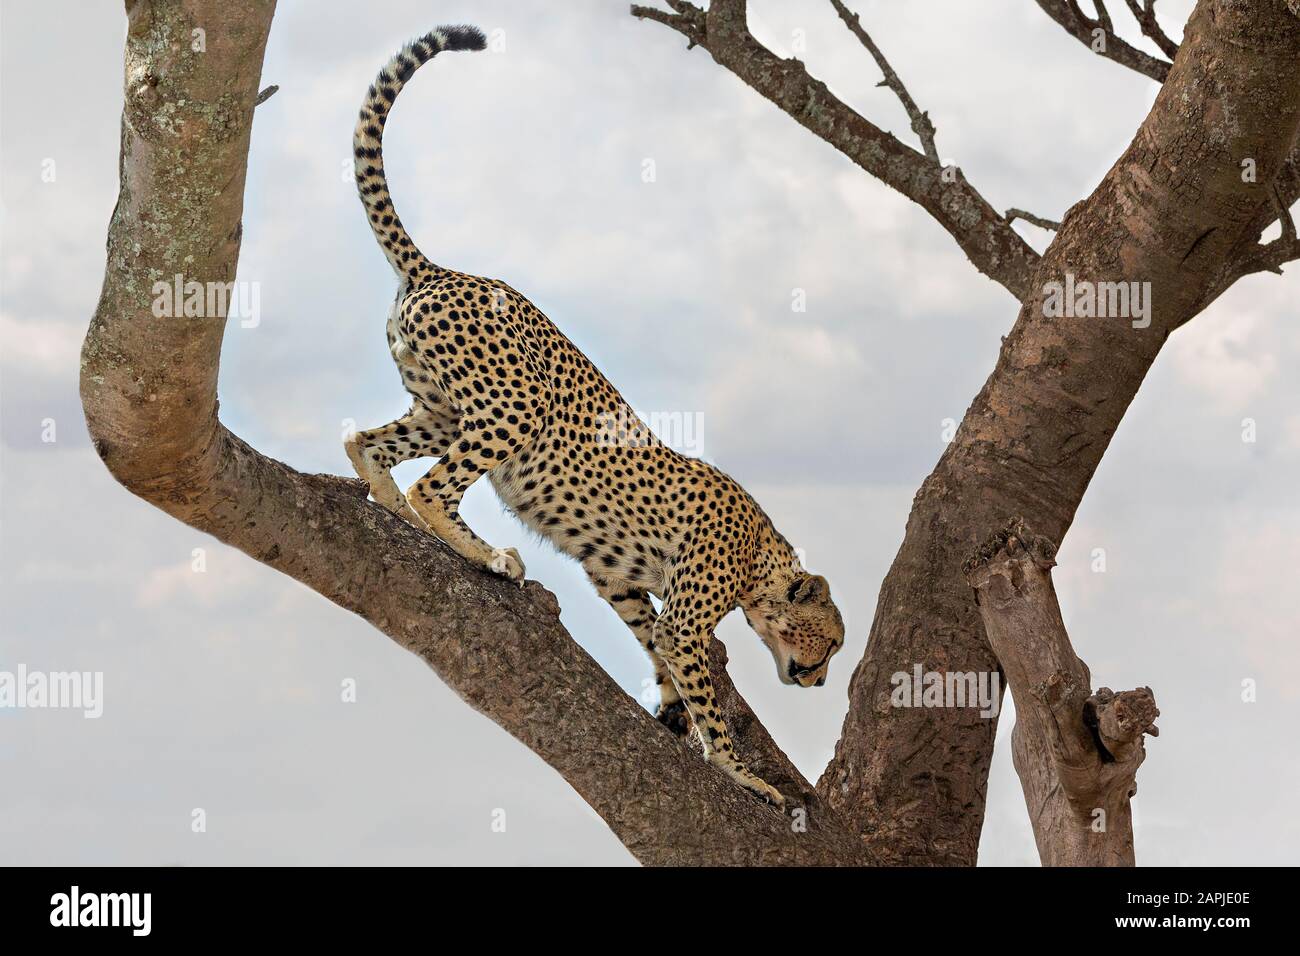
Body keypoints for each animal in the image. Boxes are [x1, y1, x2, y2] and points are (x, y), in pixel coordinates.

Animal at [344, 25, 845, 806]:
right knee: (435, 485)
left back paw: (393, 507)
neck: (763, 561)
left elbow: (655, 646)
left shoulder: (620, 581)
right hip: (514, 408)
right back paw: (484, 552)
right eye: (827, 641)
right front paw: (741, 774)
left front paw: (668, 714)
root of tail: (443, 270)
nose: (818, 680)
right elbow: (702, 687)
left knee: (365, 441)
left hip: (442, 407)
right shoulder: (686, 615)